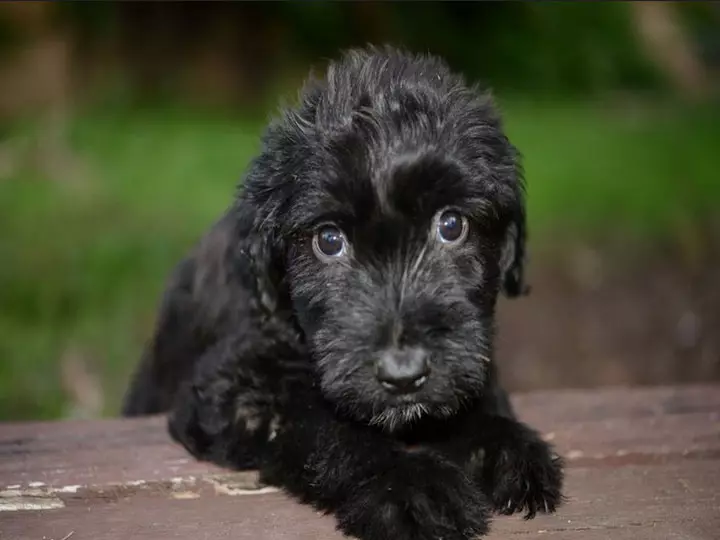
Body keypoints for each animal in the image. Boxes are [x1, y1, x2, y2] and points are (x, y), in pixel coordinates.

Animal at [122, 45, 564, 540]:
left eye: (452, 225)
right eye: (329, 240)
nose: (403, 373)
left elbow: (472, 393)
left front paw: (506, 445)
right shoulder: (230, 386)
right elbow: (325, 424)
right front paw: (410, 484)